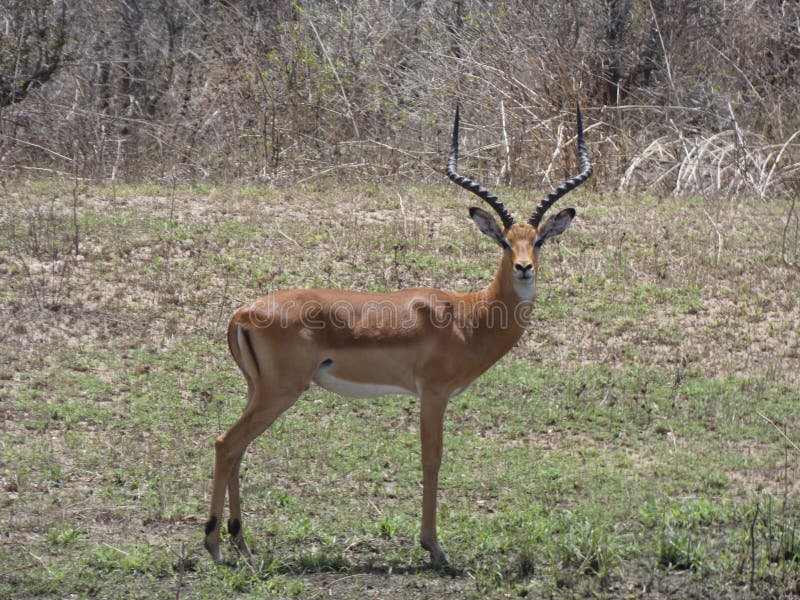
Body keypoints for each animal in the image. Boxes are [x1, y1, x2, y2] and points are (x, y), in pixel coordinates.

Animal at [204, 105, 593, 566]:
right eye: (503, 241)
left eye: (538, 241)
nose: (524, 268)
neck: (469, 315)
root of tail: (243, 312)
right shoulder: (433, 393)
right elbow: (432, 459)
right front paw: (435, 548)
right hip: (280, 392)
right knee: (226, 443)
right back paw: (214, 544)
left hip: (259, 391)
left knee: (238, 449)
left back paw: (241, 542)